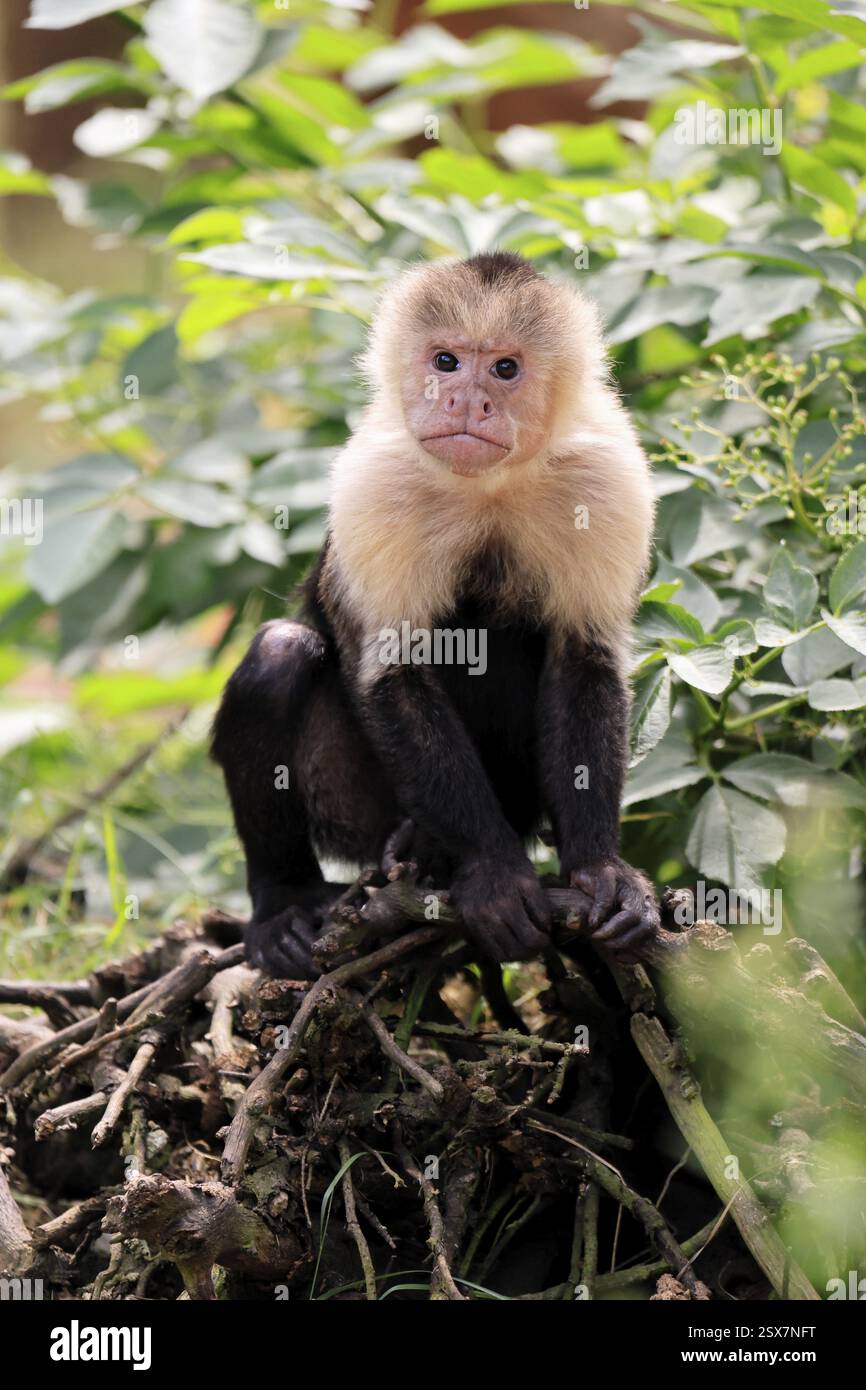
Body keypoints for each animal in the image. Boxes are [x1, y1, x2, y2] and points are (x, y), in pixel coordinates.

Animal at [211, 251, 660, 978]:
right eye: (446, 361)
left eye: (504, 369)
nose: (464, 401)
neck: (489, 488)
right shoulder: (376, 477)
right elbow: (392, 671)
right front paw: (494, 873)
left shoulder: (605, 473)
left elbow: (583, 659)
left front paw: (600, 869)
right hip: (356, 811)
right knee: (280, 655)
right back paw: (291, 897)